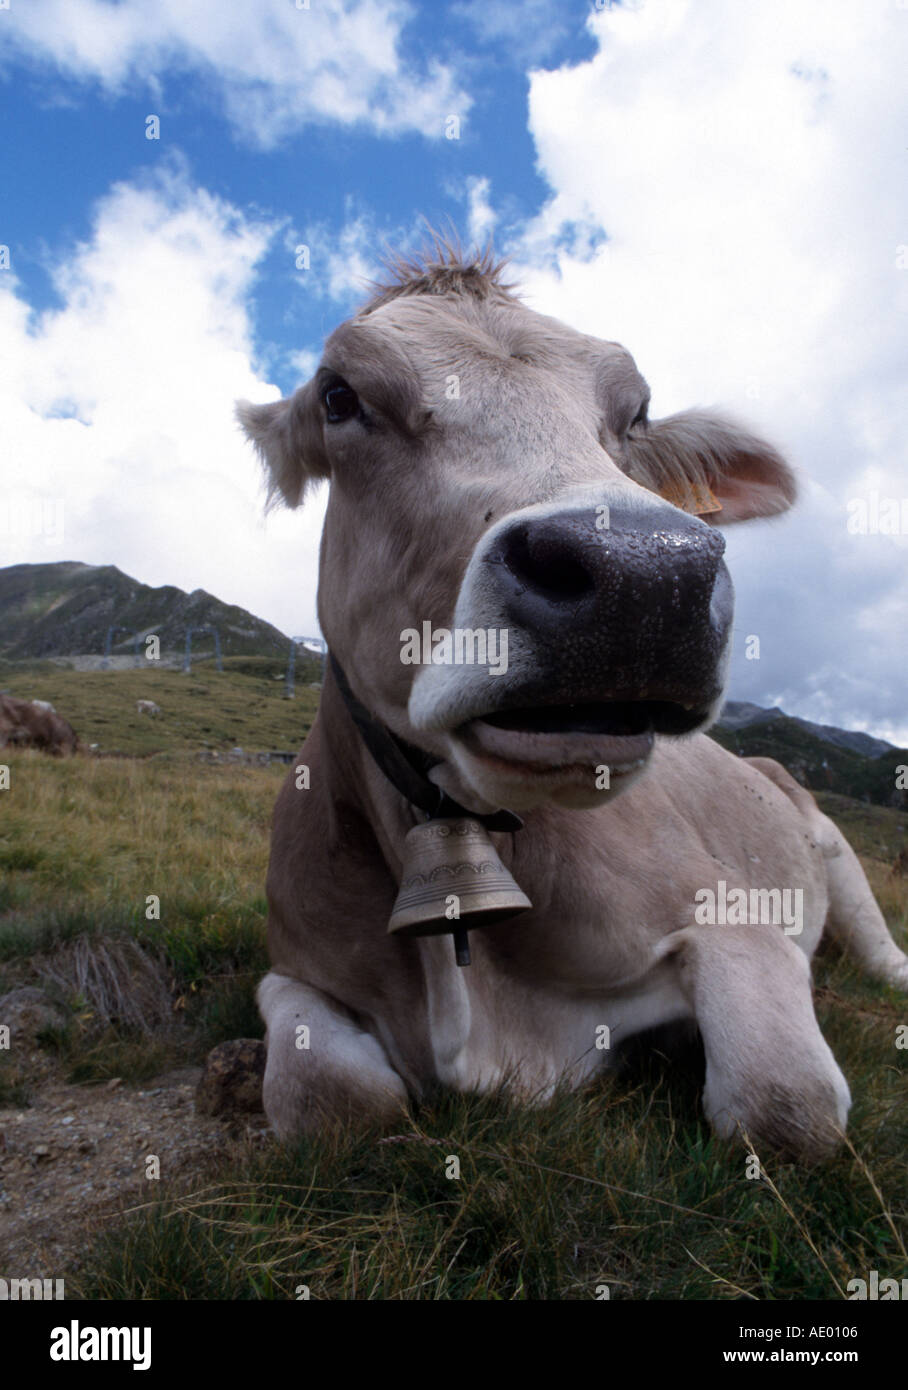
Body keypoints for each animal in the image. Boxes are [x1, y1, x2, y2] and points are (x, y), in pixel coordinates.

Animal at [237, 239, 908, 1161]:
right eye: (341, 395)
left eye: (636, 413)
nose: (645, 580)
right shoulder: (292, 967)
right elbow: (329, 1103)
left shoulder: (736, 920)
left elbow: (785, 1109)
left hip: (832, 844)